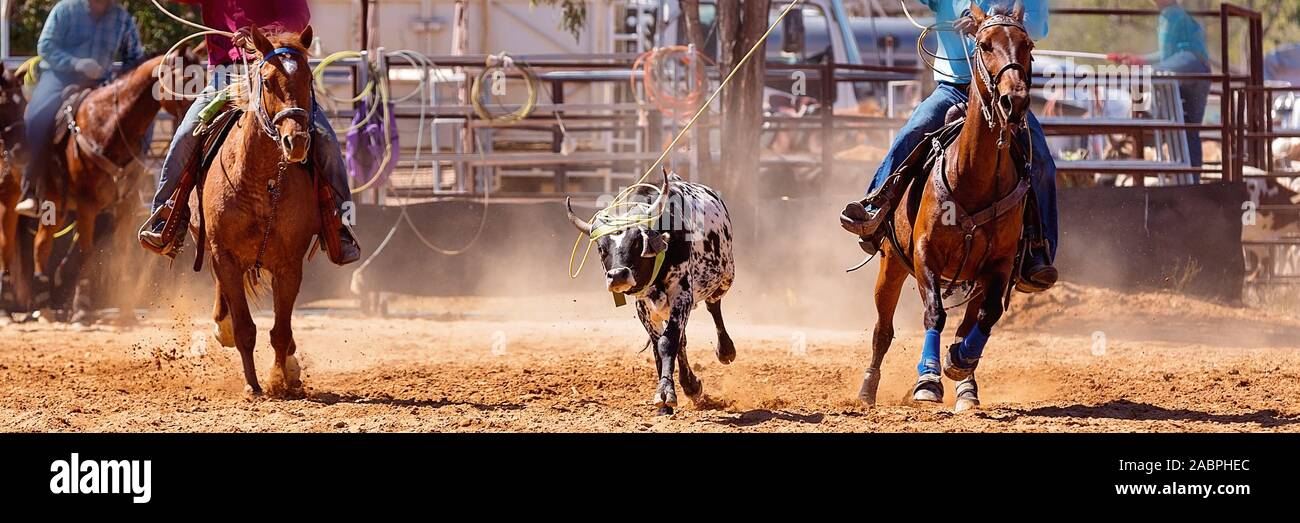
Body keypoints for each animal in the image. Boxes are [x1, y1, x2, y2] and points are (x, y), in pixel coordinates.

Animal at [565, 169, 736, 415]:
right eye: (601, 248)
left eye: (637, 242)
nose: (617, 275)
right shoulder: (643, 306)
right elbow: (659, 346)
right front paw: (668, 397)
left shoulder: (682, 295)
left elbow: (667, 342)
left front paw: (665, 393)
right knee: (682, 340)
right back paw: (690, 385)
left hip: (725, 278)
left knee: (713, 307)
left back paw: (725, 350)